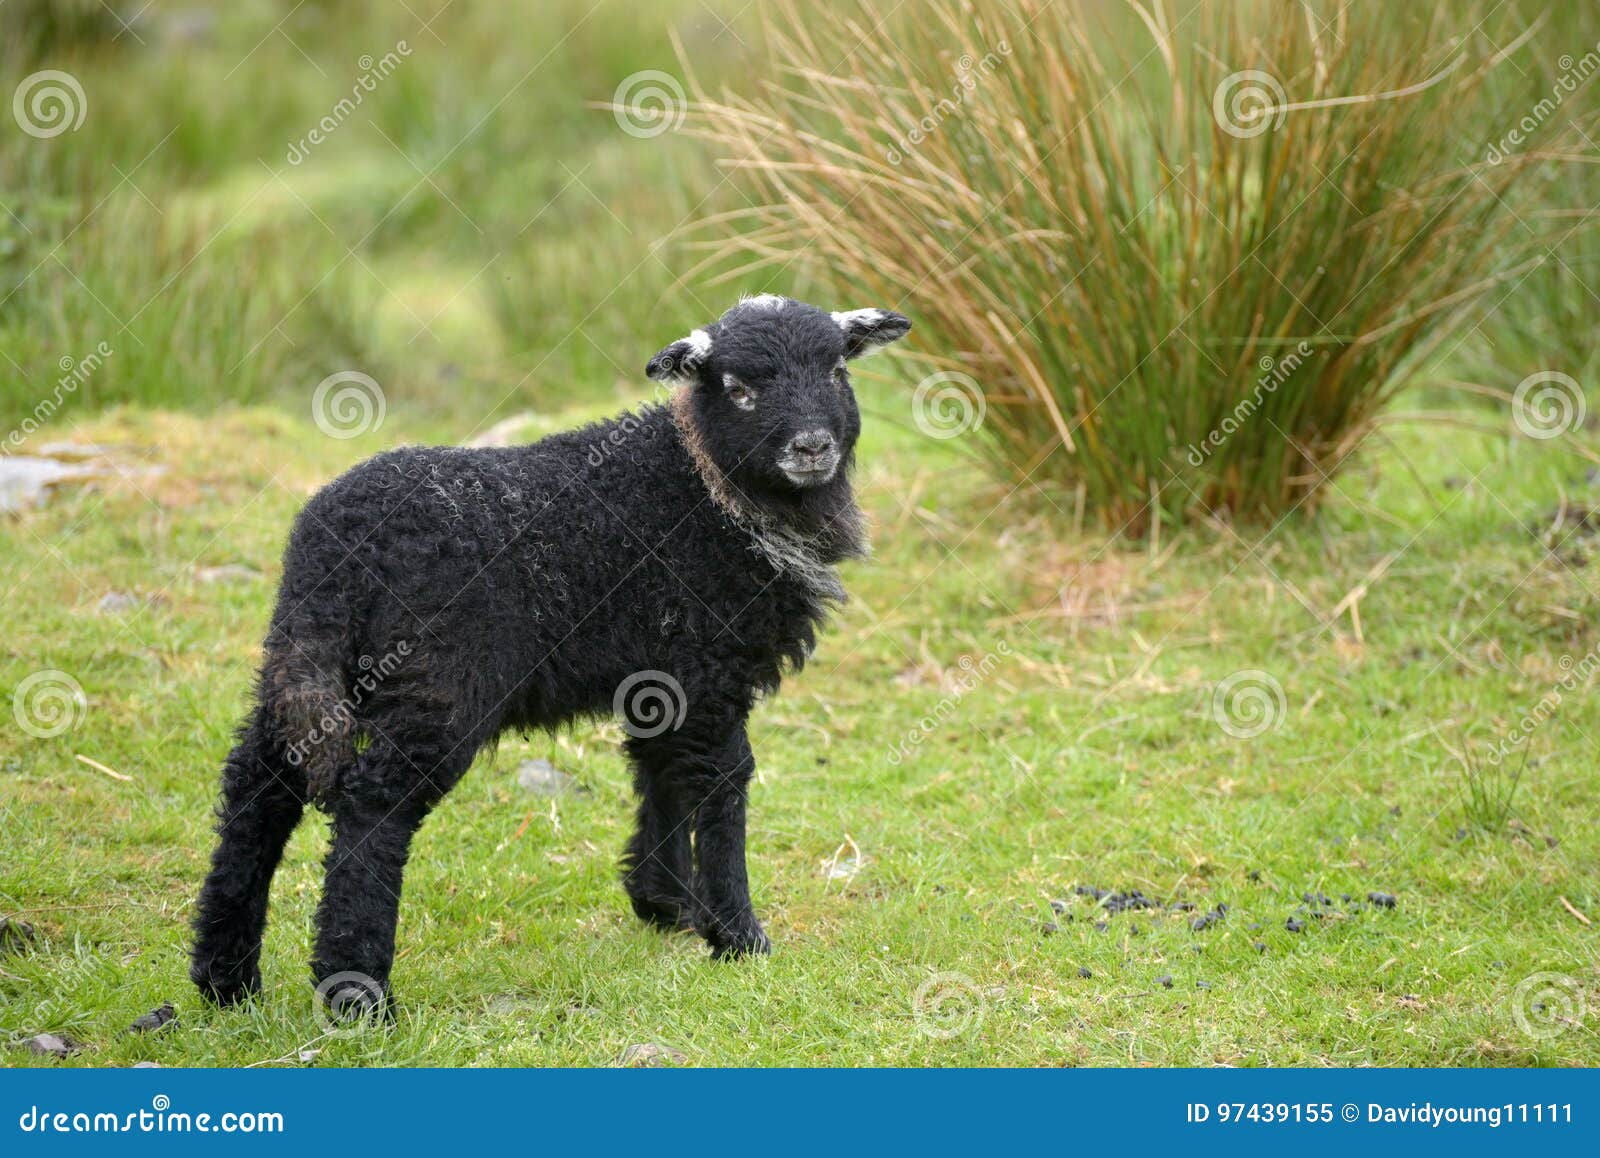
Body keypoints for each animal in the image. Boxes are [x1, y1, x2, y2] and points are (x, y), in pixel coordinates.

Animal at [190, 295, 911, 1014]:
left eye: (838, 373)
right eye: (738, 389)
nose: (812, 446)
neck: (707, 487)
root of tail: (333, 552)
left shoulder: (662, 674)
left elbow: (660, 768)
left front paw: (664, 904)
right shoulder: (711, 668)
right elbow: (722, 780)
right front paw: (738, 935)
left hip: (308, 663)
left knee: (258, 787)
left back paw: (226, 977)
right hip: (435, 684)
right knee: (373, 806)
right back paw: (359, 996)